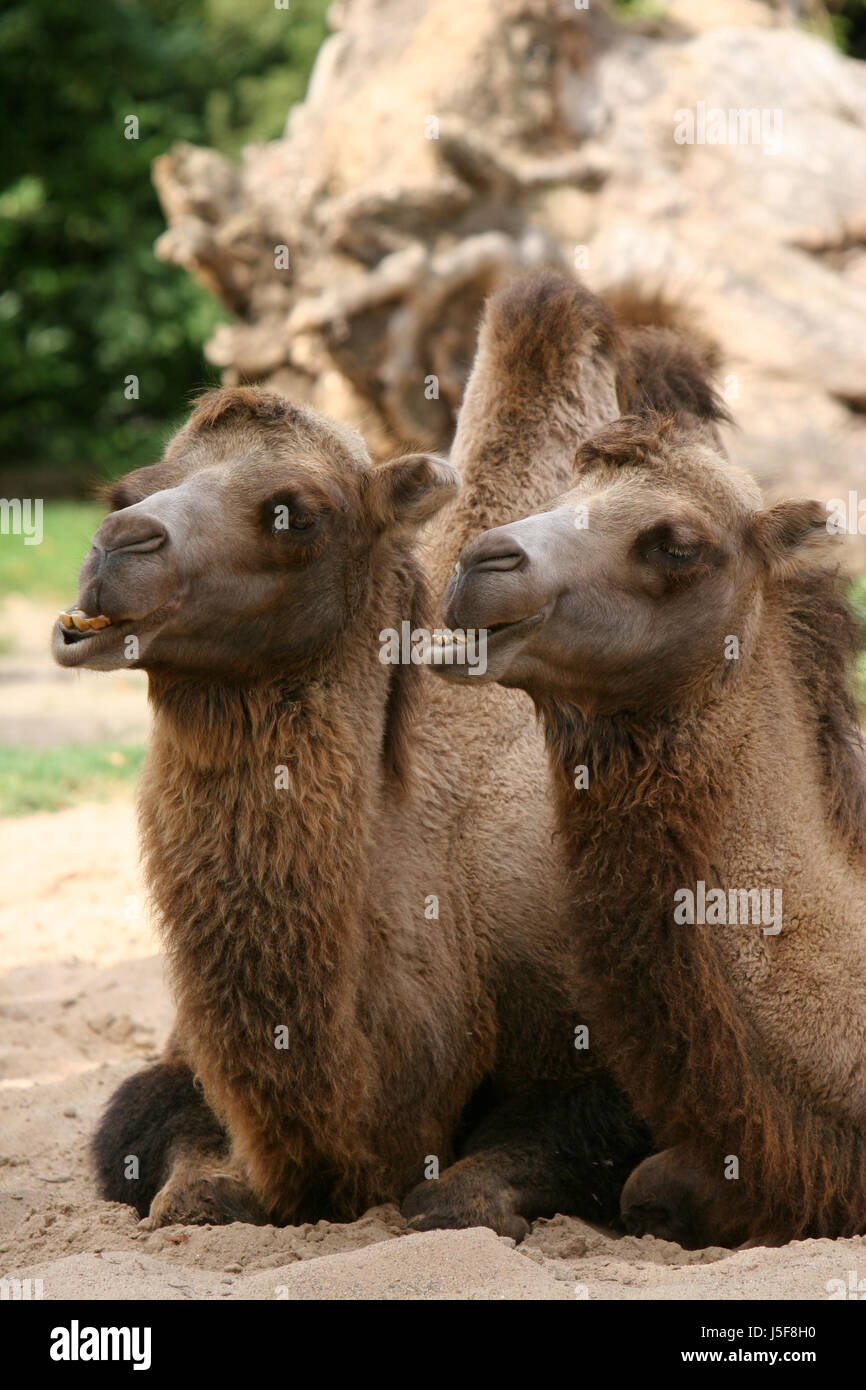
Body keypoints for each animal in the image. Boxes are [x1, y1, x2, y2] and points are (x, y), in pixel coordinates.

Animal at [52, 274, 654, 1235]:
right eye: (126, 492)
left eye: (296, 512)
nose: (114, 547)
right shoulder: (174, 1070)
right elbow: (175, 1173)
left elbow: (459, 1195)